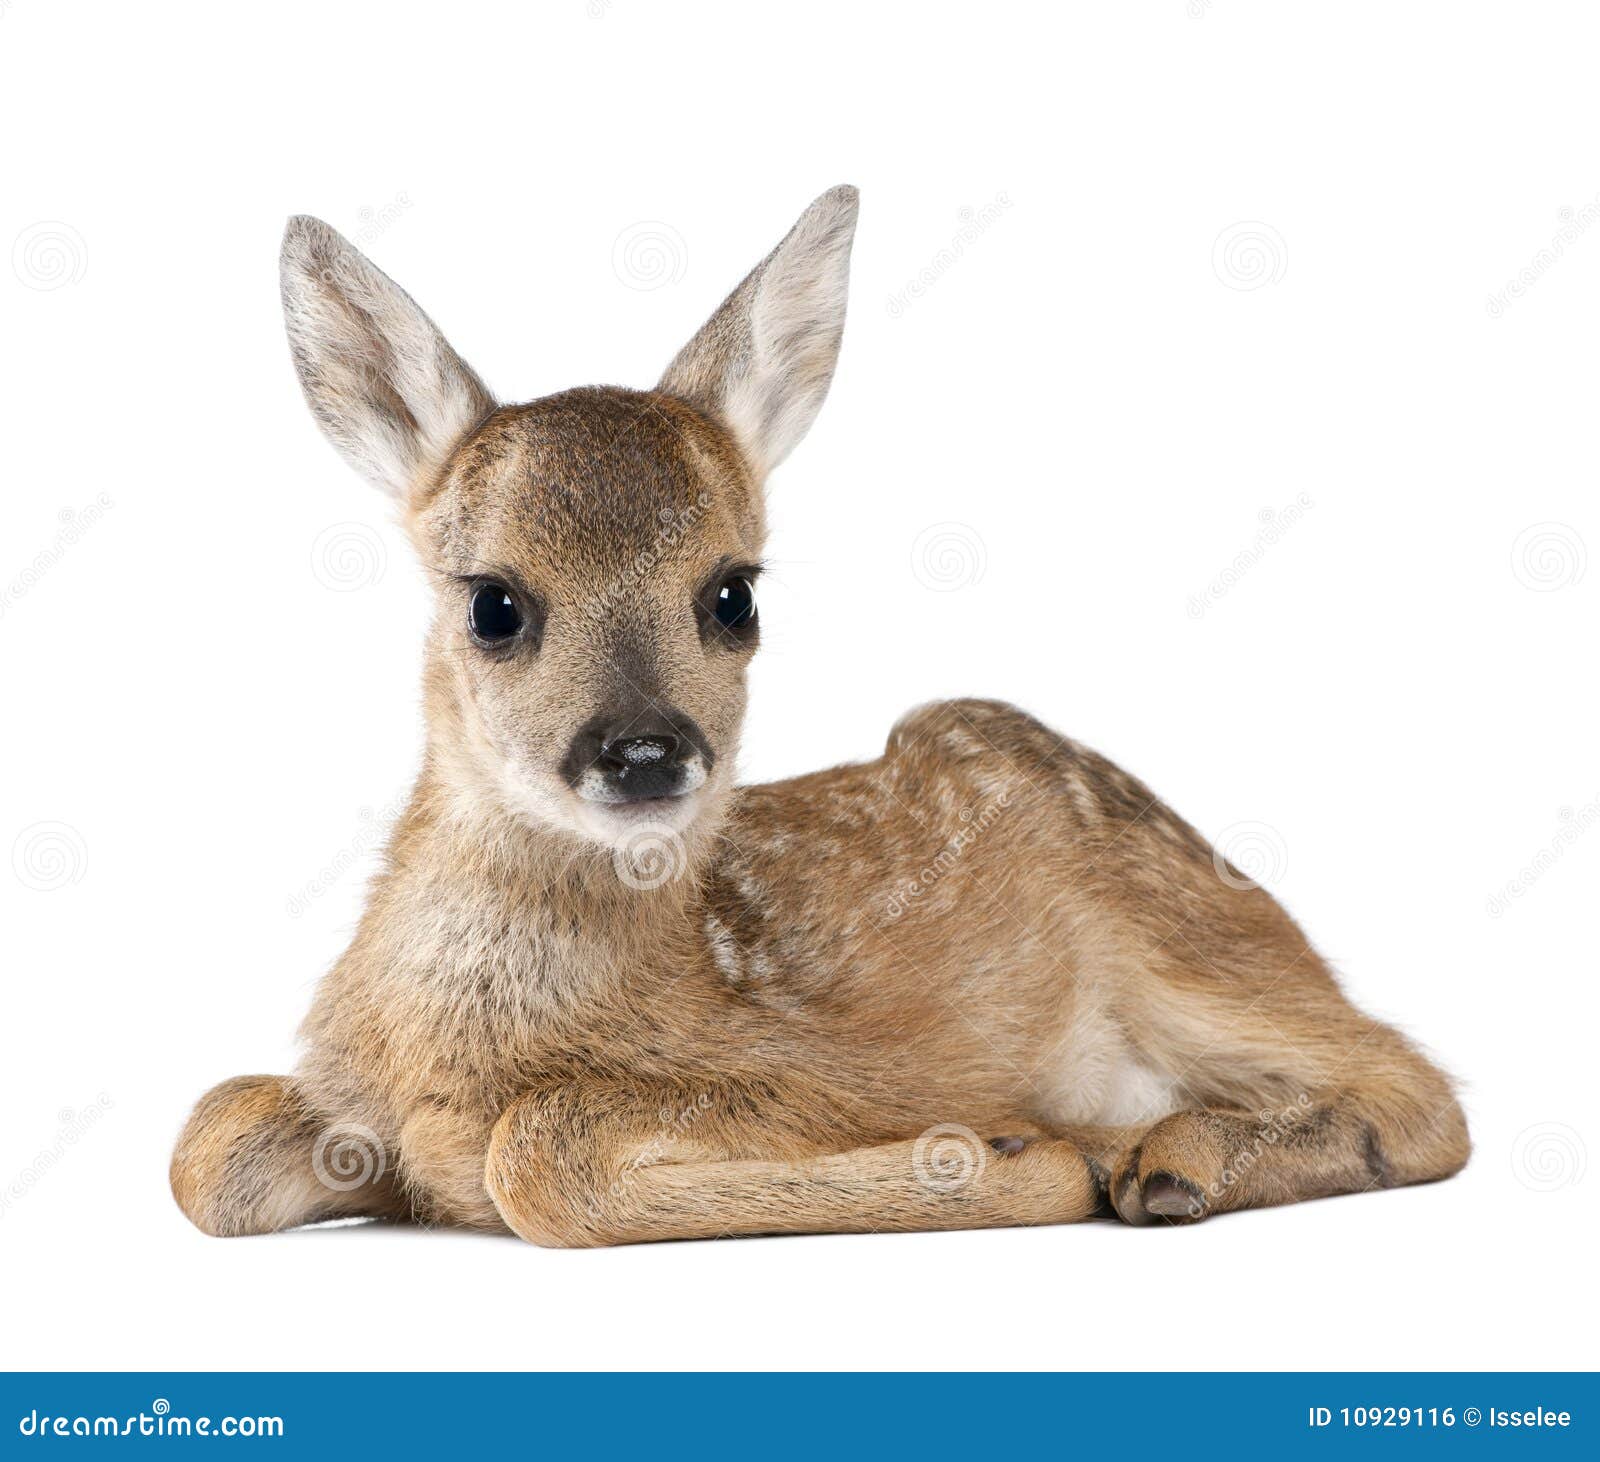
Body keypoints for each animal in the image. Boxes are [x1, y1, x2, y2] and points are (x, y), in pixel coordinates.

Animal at [170, 186, 1469, 1246]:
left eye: (731, 593)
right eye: (494, 602)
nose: (644, 751)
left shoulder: (814, 1068)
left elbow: (537, 1155)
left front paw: (1015, 1152)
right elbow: (208, 1141)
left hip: (1178, 939)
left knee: (1419, 1091)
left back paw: (1163, 1158)